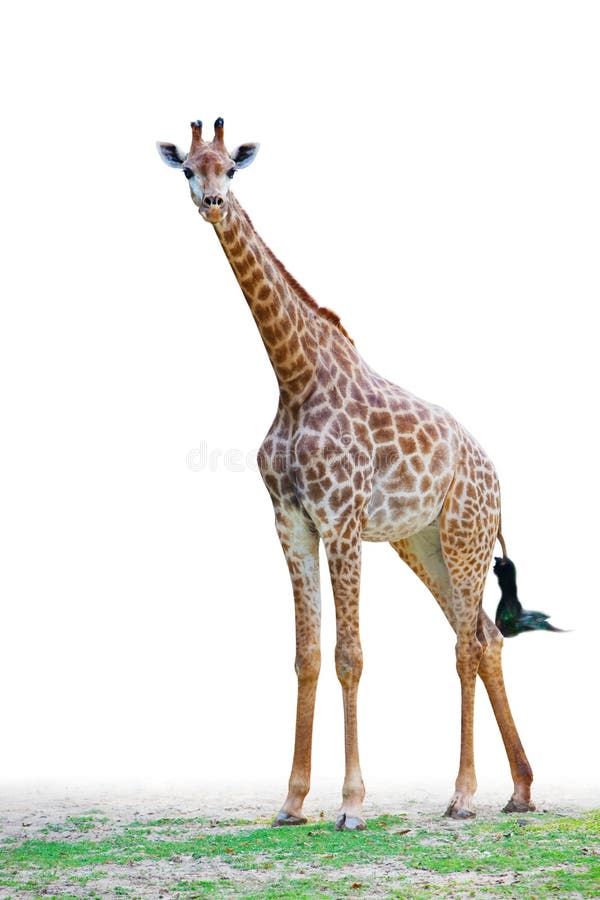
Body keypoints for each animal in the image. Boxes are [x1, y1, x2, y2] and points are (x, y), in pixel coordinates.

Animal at [157, 118, 535, 830]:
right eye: (189, 169)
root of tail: (498, 483)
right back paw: (521, 790)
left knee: (466, 645)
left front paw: (353, 804)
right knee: (486, 634)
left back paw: (463, 795)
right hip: (423, 543)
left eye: (232, 169)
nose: (213, 204)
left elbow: (349, 656)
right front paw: (292, 801)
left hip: (464, 537)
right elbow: (306, 657)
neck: (294, 377)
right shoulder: (293, 525)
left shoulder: (342, 521)